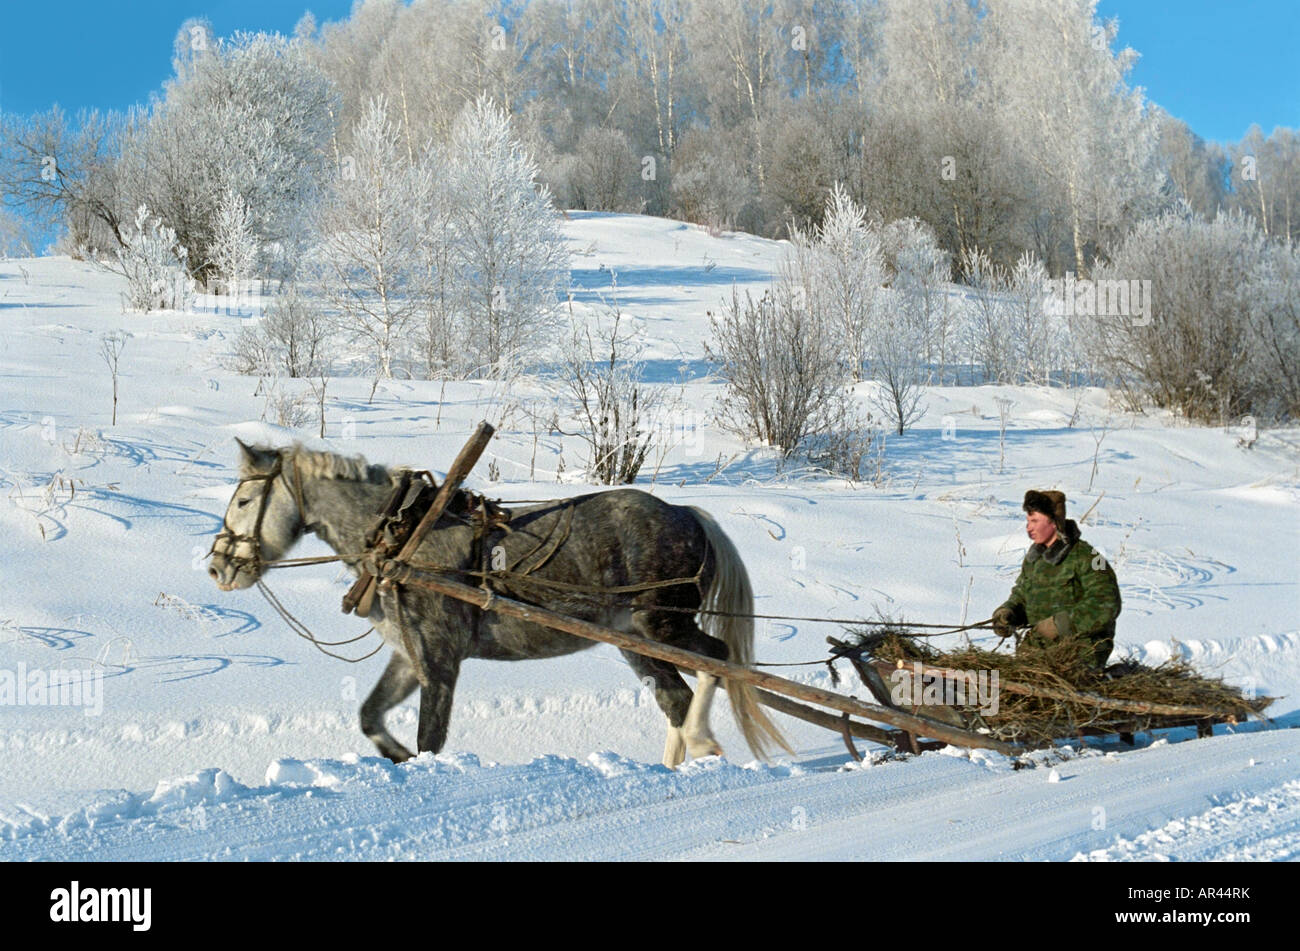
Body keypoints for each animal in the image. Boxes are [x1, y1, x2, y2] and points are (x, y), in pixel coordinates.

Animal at [207, 439, 789, 768]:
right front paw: (395, 758)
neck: (403, 539)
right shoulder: (409, 656)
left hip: (664, 624)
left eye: (244, 499)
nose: (217, 567)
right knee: (675, 698)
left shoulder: (440, 658)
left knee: (716, 659)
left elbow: (431, 738)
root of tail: (689, 514)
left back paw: (702, 741)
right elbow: (370, 715)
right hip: (636, 640)